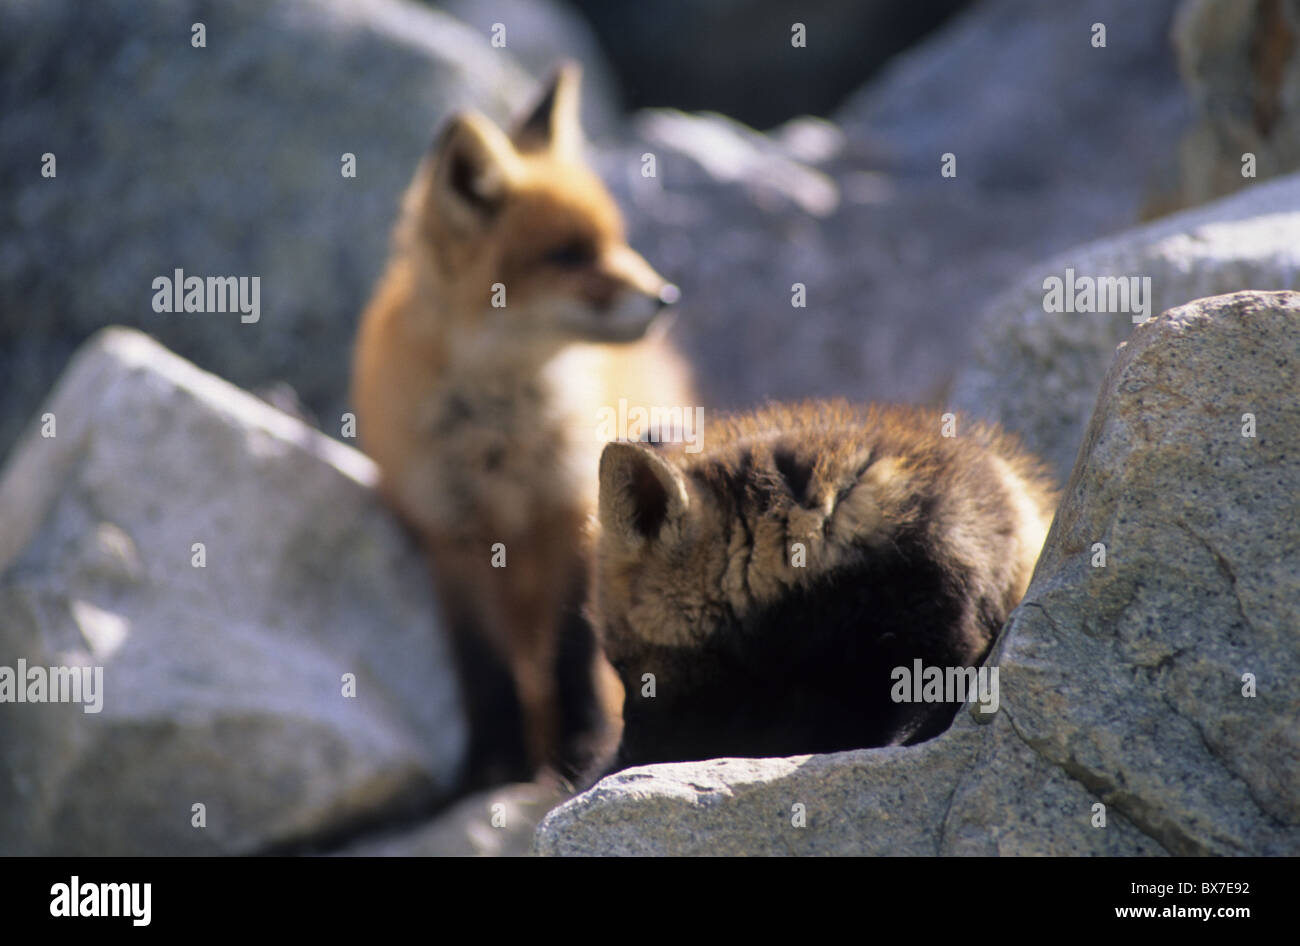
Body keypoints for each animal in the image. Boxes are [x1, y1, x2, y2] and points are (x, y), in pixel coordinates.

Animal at [351, 63, 695, 783]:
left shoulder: (571, 509)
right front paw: (497, 763)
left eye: (615, 240)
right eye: (567, 254)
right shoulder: (450, 533)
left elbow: (573, 645)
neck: (499, 434)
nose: (665, 297)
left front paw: (583, 746)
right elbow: (484, 667)